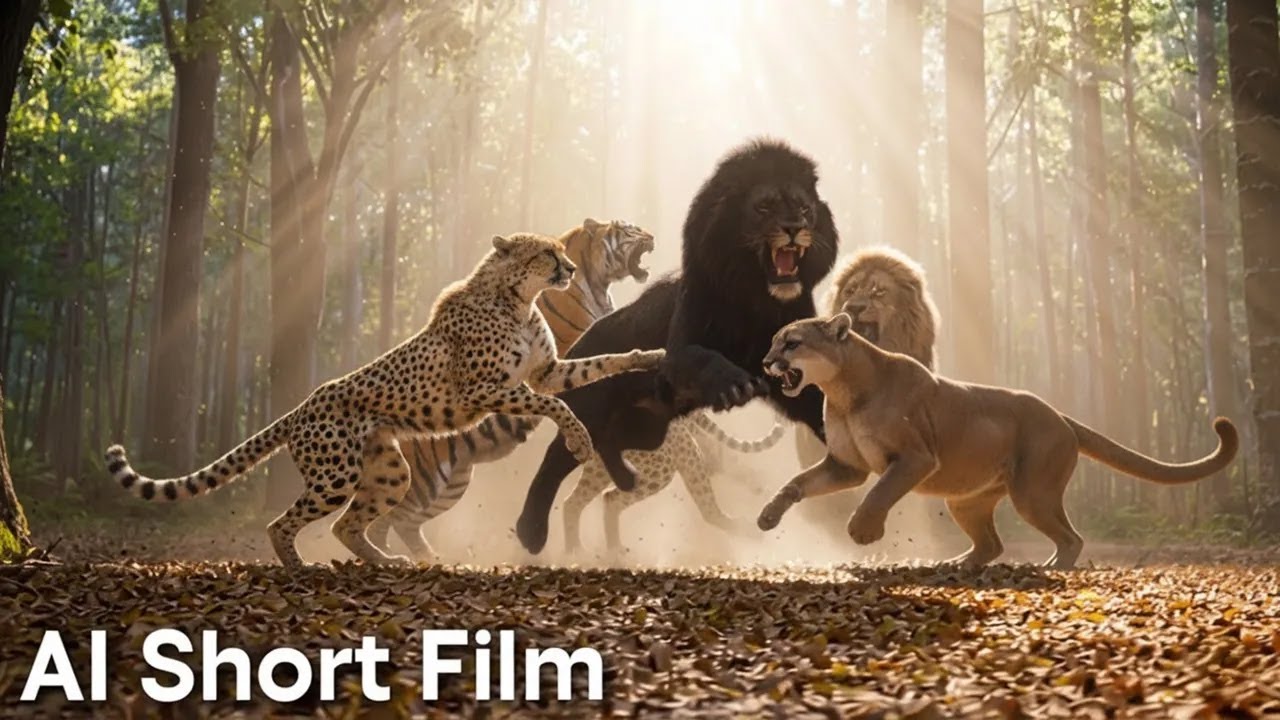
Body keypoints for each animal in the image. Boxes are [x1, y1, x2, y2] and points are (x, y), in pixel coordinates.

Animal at [757, 313, 1238, 569]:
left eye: (792, 343)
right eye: (774, 341)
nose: (764, 362)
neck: (842, 391)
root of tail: (1059, 414)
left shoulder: (914, 457)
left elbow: (880, 492)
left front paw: (863, 531)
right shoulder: (847, 465)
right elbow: (798, 483)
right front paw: (768, 517)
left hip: (1032, 491)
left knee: (1071, 538)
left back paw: (1052, 568)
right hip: (967, 500)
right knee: (992, 544)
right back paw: (955, 566)